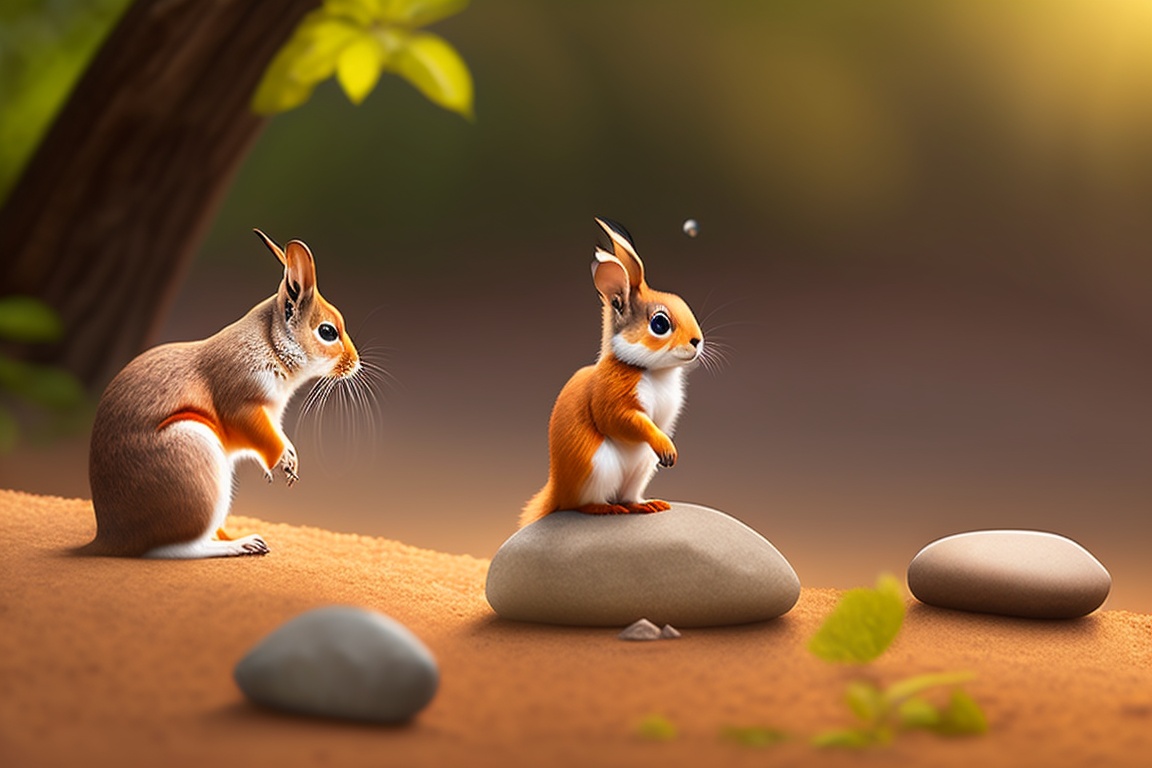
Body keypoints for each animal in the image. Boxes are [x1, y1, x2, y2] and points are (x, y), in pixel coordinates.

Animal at [80, 230, 360, 558]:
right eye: (328, 332)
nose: (355, 363)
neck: (271, 344)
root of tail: (110, 538)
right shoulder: (243, 403)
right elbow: (265, 438)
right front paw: (284, 463)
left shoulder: (271, 414)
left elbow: (275, 437)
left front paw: (289, 458)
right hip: (197, 459)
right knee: (181, 548)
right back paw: (241, 543)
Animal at [520, 218, 704, 527]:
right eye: (660, 324)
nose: (697, 341)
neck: (653, 371)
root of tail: (559, 492)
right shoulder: (612, 394)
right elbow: (621, 420)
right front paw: (666, 446)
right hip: (599, 467)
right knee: (583, 504)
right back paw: (604, 508)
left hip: (641, 469)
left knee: (627, 496)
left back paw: (645, 505)